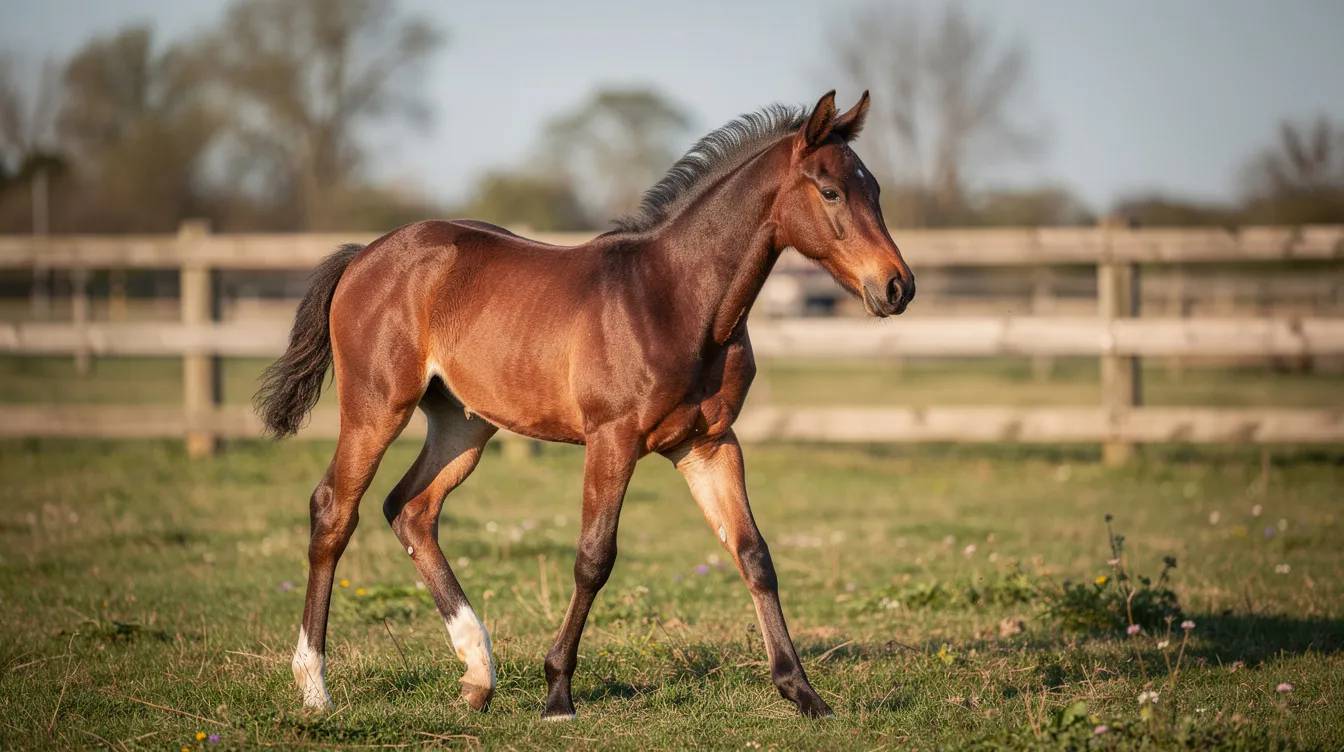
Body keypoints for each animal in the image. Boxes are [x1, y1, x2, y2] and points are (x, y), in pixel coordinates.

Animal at [254, 89, 914, 720]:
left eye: (877, 190)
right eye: (830, 190)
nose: (897, 287)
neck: (675, 299)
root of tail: (365, 255)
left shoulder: (708, 442)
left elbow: (753, 553)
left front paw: (804, 694)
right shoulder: (612, 438)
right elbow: (594, 558)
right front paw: (557, 694)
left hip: (462, 424)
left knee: (411, 508)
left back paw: (477, 674)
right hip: (377, 407)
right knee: (334, 510)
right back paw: (314, 687)